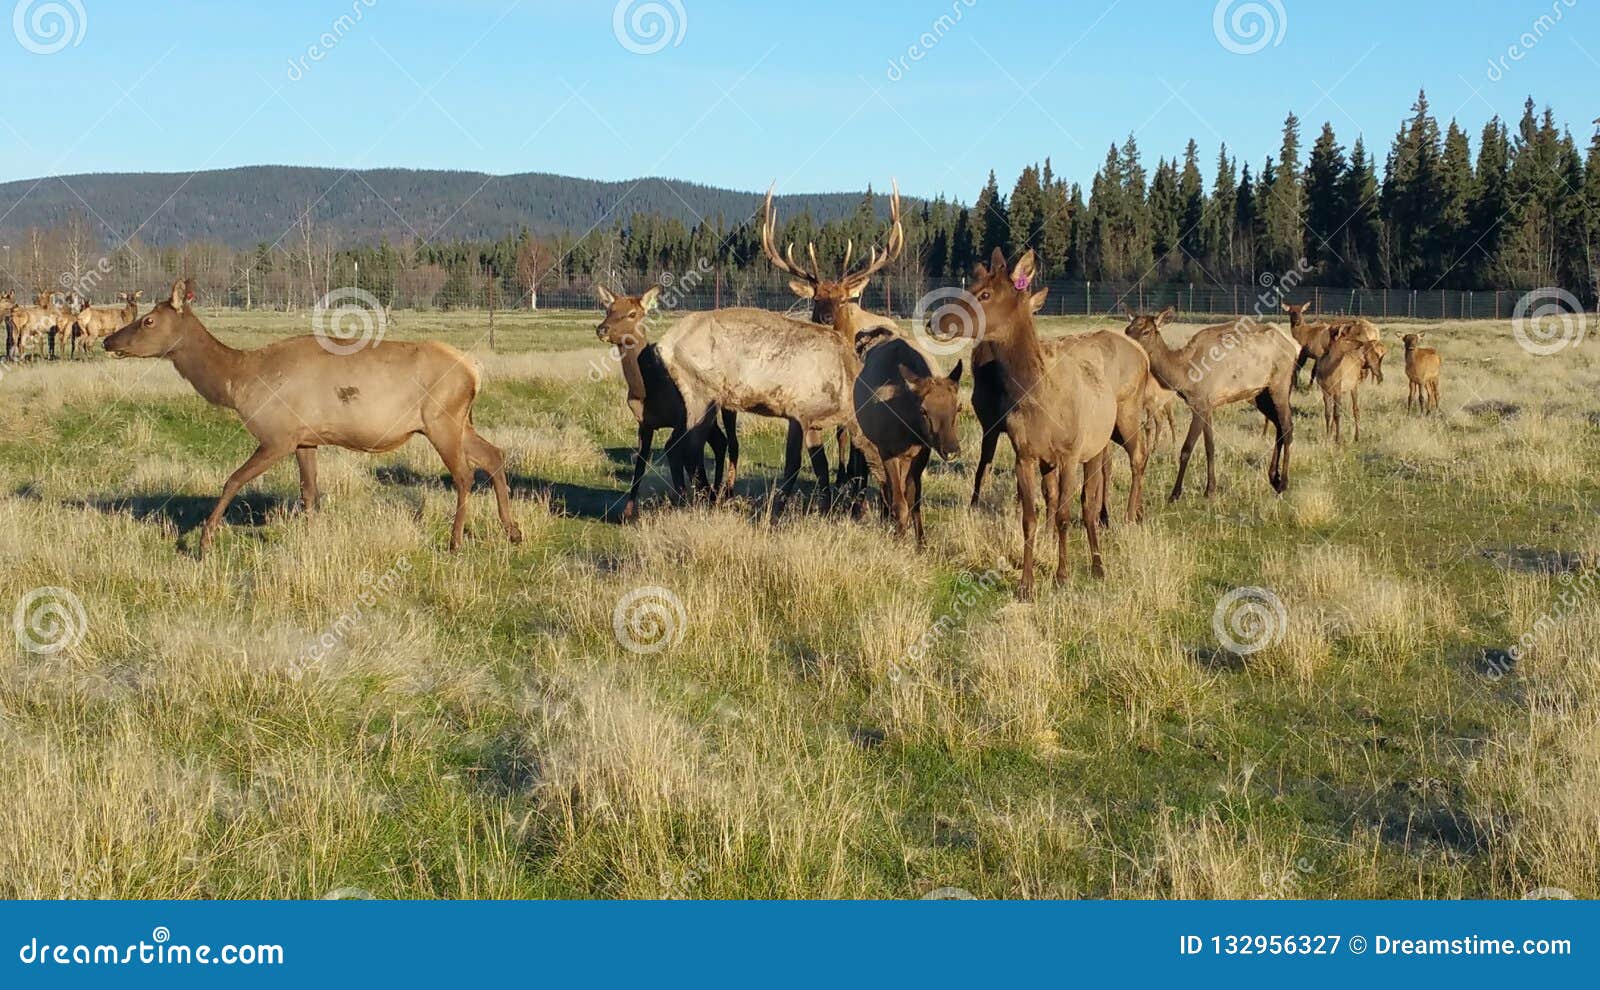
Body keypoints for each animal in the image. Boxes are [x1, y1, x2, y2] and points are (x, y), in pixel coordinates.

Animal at [103, 279, 522, 557]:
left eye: (148, 321)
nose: (108, 340)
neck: (237, 383)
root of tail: (473, 371)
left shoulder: (278, 435)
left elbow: (233, 480)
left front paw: (204, 543)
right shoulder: (307, 439)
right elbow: (309, 493)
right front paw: (311, 536)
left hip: (441, 419)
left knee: (464, 474)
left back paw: (455, 540)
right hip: (459, 421)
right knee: (494, 455)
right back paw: (513, 531)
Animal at [594, 283, 734, 521]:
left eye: (632, 314)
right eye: (608, 309)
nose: (602, 329)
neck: (649, 389)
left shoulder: (682, 416)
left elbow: (674, 451)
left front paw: (684, 502)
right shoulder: (644, 422)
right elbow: (641, 463)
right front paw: (627, 512)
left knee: (729, 443)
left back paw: (718, 495)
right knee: (719, 441)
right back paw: (713, 494)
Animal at [851, 324, 962, 547]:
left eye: (958, 408)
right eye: (924, 410)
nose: (951, 450)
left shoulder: (922, 452)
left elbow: (913, 499)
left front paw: (921, 542)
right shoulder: (887, 451)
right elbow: (899, 501)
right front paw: (899, 540)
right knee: (884, 485)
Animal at [930, 248, 1123, 599]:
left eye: (985, 293)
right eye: (972, 284)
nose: (935, 320)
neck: (1039, 400)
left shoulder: (1070, 453)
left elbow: (1064, 516)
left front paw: (1062, 576)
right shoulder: (1025, 453)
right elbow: (1029, 517)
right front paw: (1026, 583)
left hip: (1096, 449)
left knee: (1088, 507)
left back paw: (1098, 566)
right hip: (1050, 461)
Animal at [1122, 306, 1295, 501]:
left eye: (1146, 331)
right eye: (1127, 330)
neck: (1183, 374)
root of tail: (1293, 347)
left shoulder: (1200, 403)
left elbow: (1186, 449)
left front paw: (1175, 494)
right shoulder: (1208, 405)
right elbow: (1210, 446)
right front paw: (1210, 489)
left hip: (1280, 385)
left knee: (1288, 427)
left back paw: (1283, 483)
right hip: (1260, 394)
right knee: (1278, 426)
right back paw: (1273, 477)